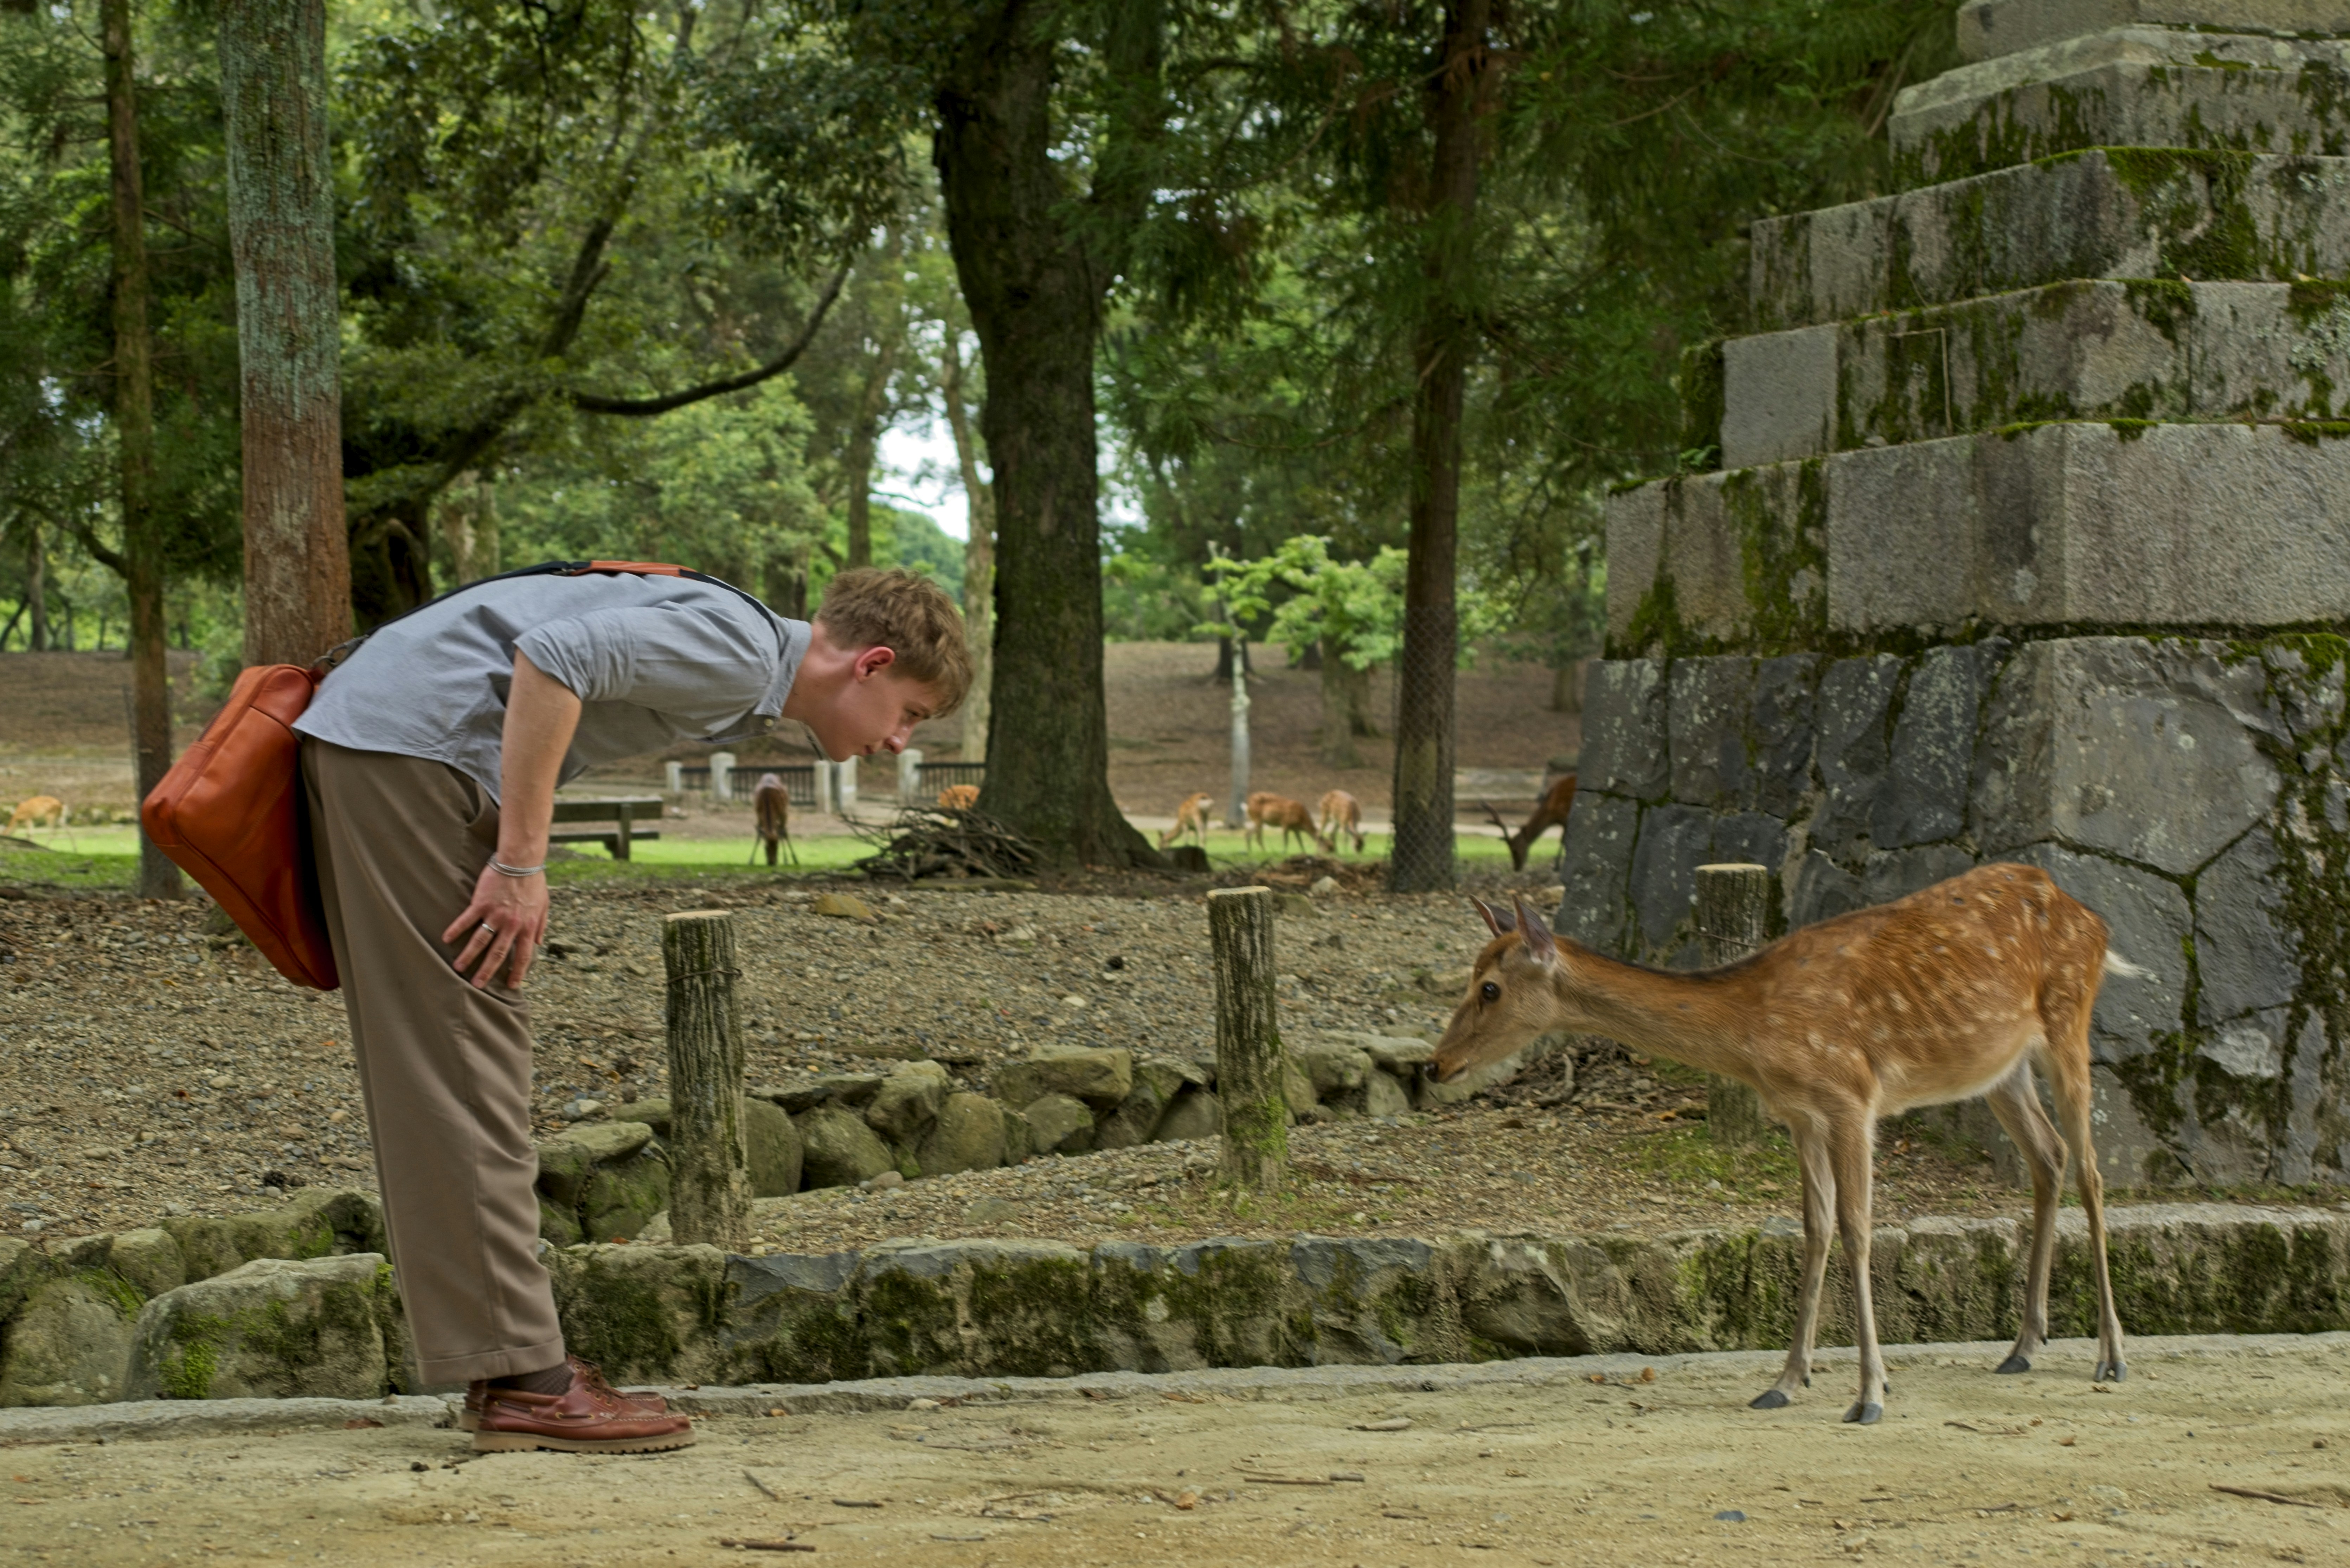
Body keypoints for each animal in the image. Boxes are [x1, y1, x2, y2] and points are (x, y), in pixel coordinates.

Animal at [749, 773, 797, 868]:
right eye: (766, 847)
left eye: (777, 847)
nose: (772, 863)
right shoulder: (759, 814)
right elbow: (759, 835)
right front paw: (751, 861)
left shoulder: (783, 813)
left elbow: (783, 833)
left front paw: (787, 860)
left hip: (785, 810)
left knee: (784, 831)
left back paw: (794, 860)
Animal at [1159, 790, 1214, 850]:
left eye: (1160, 843)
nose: (1160, 849)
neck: (1180, 820)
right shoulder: (1193, 828)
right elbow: (1196, 839)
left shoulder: (1185, 823)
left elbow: (1186, 838)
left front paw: (1186, 847)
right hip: (1206, 817)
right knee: (1205, 833)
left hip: (1197, 816)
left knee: (1201, 833)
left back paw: (1202, 848)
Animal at [1244, 791, 1333, 855]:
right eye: (1328, 848)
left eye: (1332, 848)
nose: (1331, 854)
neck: (1302, 820)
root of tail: (1248, 802)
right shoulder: (1285, 823)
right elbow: (1286, 840)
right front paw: (1283, 852)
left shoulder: (1296, 829)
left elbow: (1300, 842)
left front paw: (1304, 853)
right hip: (1257, 818)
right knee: (1258, 837)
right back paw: (1265, 852)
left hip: (1259, 821)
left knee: (1248, 834)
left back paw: (1250, 851)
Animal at [1316, 789, 1365, 854]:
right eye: (1356, 845)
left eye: (1364, 845)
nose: (1359, 853)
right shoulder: (1343, 822)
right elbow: (1345, 838)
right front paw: (1345, 852)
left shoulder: (1357, 822)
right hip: (1324, 813)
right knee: (1319, 833)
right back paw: (1317, 851)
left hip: (1337, 821)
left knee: (1332, 833)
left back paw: (1336, 852)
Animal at [1433, 864, 2134, 1426]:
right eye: (1469, 978)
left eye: (1490, 988)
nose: (1436, 1065)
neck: (1755, 1034)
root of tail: (2095, 920)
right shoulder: (1801, 1115)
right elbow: (1814, 1227)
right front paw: (1785, 1382)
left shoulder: (1851, 1096)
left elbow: (1857, 1229)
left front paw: (1869, 1395)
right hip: (1999, 1067)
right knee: (2048, 1156)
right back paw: (2023, 1347)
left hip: (2068, 1019)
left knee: (2092, 1172)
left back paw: (2111, 1355)